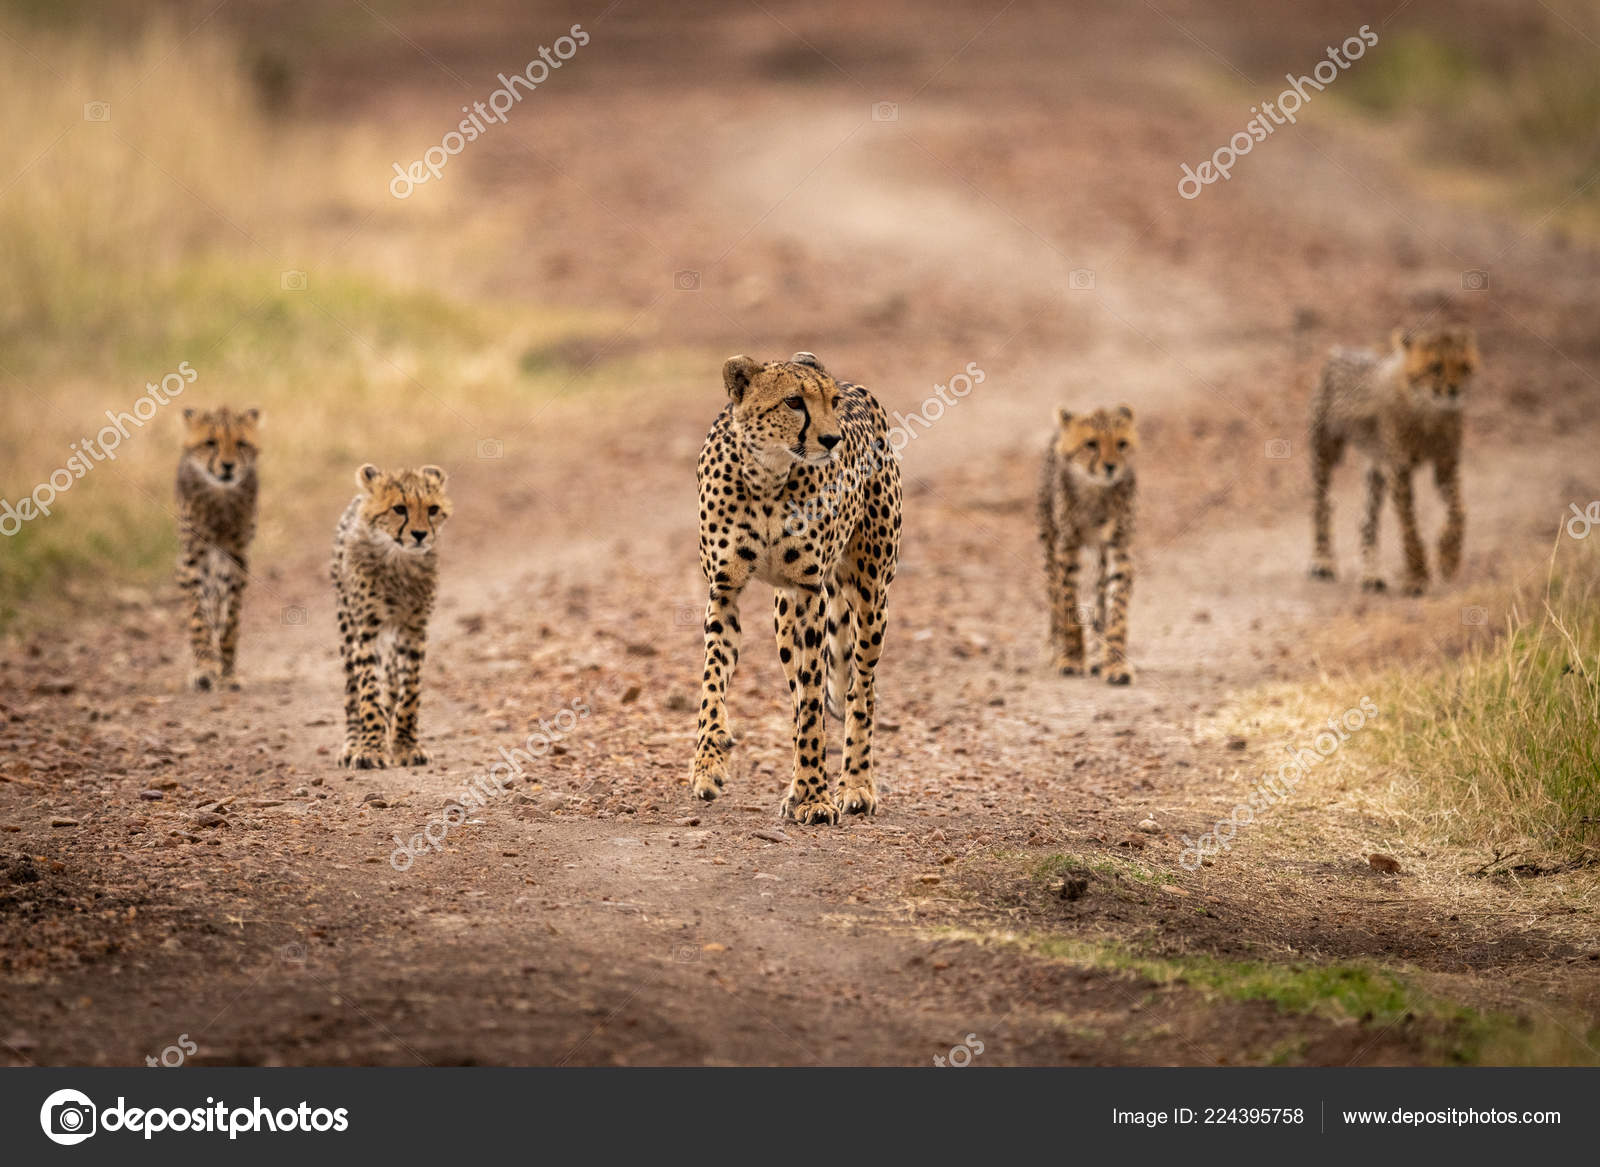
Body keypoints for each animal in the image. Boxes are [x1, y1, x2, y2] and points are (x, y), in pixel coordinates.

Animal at [175, 406, 260, 692]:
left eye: (241, 443)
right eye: (210, 443)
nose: (228, 466)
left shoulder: (236, 556)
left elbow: (230, 618)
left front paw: (228, 672)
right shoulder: (192, 558)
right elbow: (198, 616)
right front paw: (205, 668)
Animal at [330, 463, 452, 770]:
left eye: (433, 509)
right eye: (399, 508)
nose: (420, 534)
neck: (398, 557)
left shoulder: (413, 630)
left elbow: (409, 693)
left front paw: (406, 746)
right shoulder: (366, 631)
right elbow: (368, 691)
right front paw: (370, 749)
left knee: (392, 680)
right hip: (347, 626)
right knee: (352, 691)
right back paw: (353, 742)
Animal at [692, 351, 902, 826]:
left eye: (832, 401)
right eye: (793, 402)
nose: (831, 439)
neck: (768, 475)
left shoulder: (811, 593)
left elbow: (812, 702)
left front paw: (815, 795)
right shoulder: (725, 591)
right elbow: (712, 683)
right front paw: (709, 764)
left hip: (870, 594)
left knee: (861, 689)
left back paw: (855, 785)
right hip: (784, 612)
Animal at [1038, 405, 1137, 685]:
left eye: (1122, 444)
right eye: (1091, 444)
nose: (1111, 466)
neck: (1095, 490)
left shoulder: (1118, 547)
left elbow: (1116, 607)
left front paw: (1114, 665)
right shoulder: (1067, 547)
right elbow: (1068, 603)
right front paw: (1071, 659)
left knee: (1100, 595)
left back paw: (1096, 656)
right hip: (1050, 540)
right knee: (1053, 597)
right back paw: (1058, 649)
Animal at [1309, 326, 1479, 596]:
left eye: (1464, 366)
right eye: (1436, 367)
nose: (1454, 391)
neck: (1427, 409)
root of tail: (1340, 350)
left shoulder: (1445, 464)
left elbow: (1458, 510)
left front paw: (1448, 558)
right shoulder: (1400, 470)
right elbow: (1409, 525)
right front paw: (1417, 577)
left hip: (1376, 468)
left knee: (1367, 522)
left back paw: (1371, 574)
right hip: (1325, 450)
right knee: (1321, 505)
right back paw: (1323, 561)